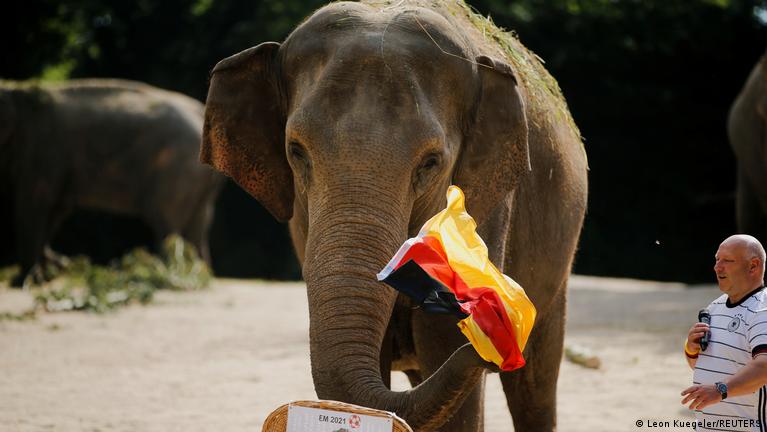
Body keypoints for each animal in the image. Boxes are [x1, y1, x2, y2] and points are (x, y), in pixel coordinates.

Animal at [0, 79, 223, 287]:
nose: (67, 262)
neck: (16, 92)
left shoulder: (44, 146)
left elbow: (34, 202)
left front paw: (23, 281)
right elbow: (57, 208)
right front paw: (45, 273)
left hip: (175, 169)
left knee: (164, 221)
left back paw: (167, 276)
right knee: (197, 223)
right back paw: (196, 275)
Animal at [201, 1, 587, 431]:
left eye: (431, 162)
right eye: (296, 151)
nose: (496, 322)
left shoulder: (486, 205)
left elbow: (446, 343)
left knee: (536, 382)